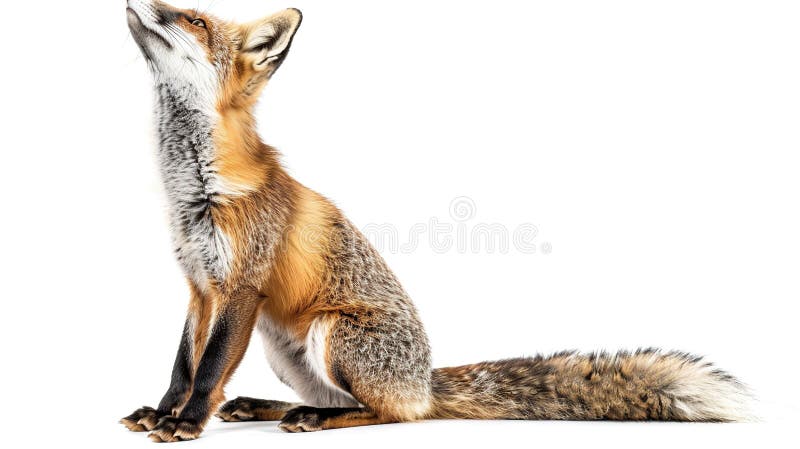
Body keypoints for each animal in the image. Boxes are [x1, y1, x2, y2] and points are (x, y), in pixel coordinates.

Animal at [121, 0, 753, 442]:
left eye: (195, 19)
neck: (194, 188)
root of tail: (424, 378)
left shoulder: (240, 287)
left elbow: (208, 369)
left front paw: (186, 423)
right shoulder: (200, 286)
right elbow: (183, 363)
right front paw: (162, 411)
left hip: (331, 334)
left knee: (390, 413)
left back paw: (312, 418)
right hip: (283, 347)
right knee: (350, 401)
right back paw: (271, 406)